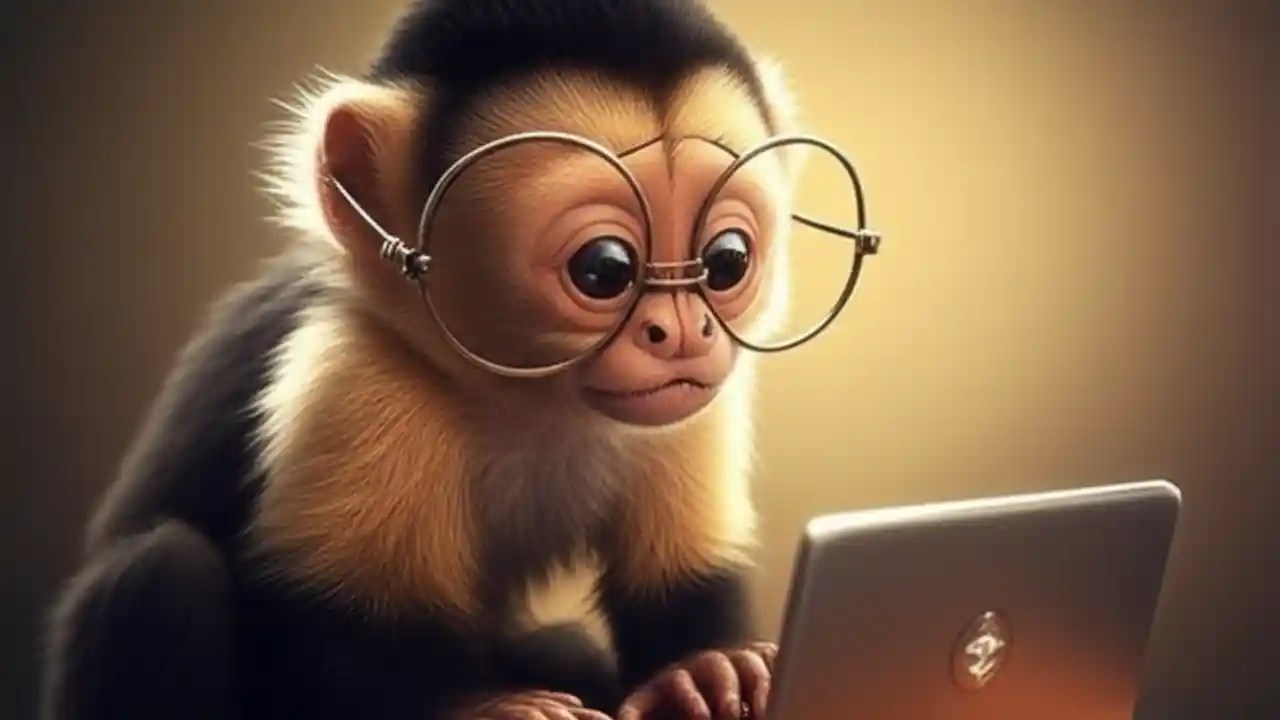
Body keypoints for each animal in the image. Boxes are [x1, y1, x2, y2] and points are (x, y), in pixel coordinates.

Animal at [38, 1, 854, 719]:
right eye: (604, 270)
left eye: (725, 262)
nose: (683, 334)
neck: (528, 398)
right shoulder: (351, 375)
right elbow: (337, 632)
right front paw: (481, 708)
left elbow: (677, 584)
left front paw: (706, 666)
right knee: (156, 573)